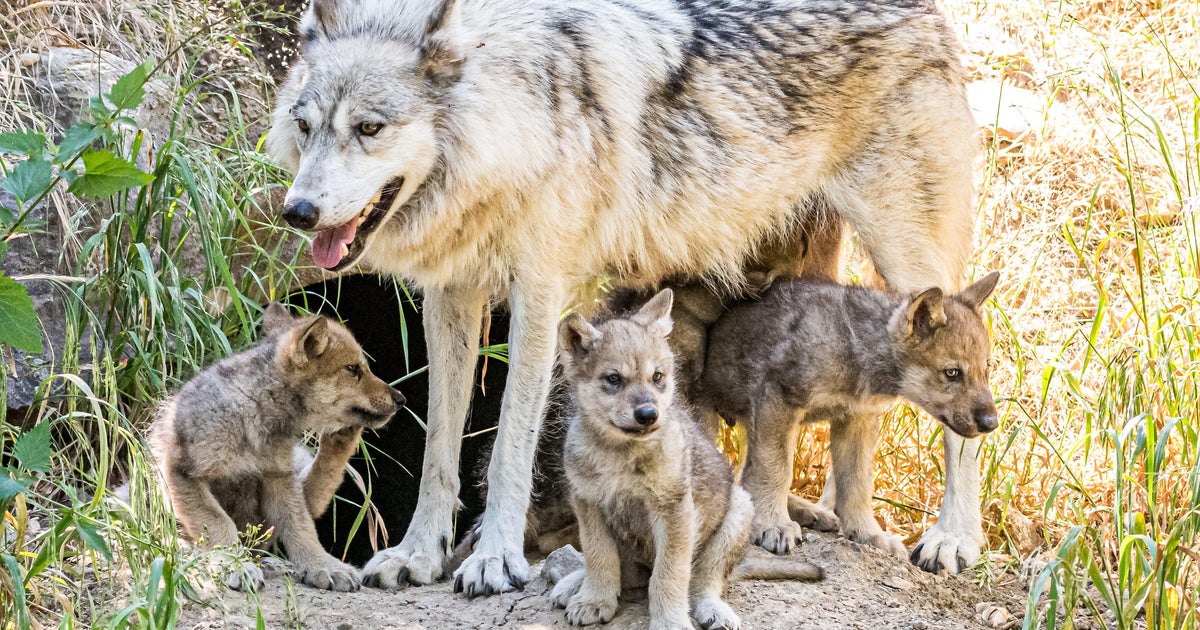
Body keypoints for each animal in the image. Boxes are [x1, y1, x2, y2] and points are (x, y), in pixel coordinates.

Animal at [148, 303, 405, 591]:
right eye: (352, 369)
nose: (401, 399)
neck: (254, 410)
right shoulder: (183, 473)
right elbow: (218, 523)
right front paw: (236, 565)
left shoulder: (278, 477)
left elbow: (301, 527)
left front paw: (322, 566)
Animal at [550, 290, 822, 630]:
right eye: (613, 379)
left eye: (657, 377)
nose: (648, 414)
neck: (621, 454)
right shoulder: (589, 506)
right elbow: (599, 557)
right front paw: (594, 600)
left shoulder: (675, 511)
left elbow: (669, 575)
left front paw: (669, 621)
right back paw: (573, 583)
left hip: (738, 513)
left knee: (705, 581)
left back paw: (714, 609)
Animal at [699, 273, 1000, 570]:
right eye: (952, 373)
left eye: (987, 369)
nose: (991, 423)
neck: (855, 345)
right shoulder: (778, 399)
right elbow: (775, 471)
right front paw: (773, 524)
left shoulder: (856, 419)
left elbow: (857, 484)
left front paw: (868, 533)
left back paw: (810, 511)